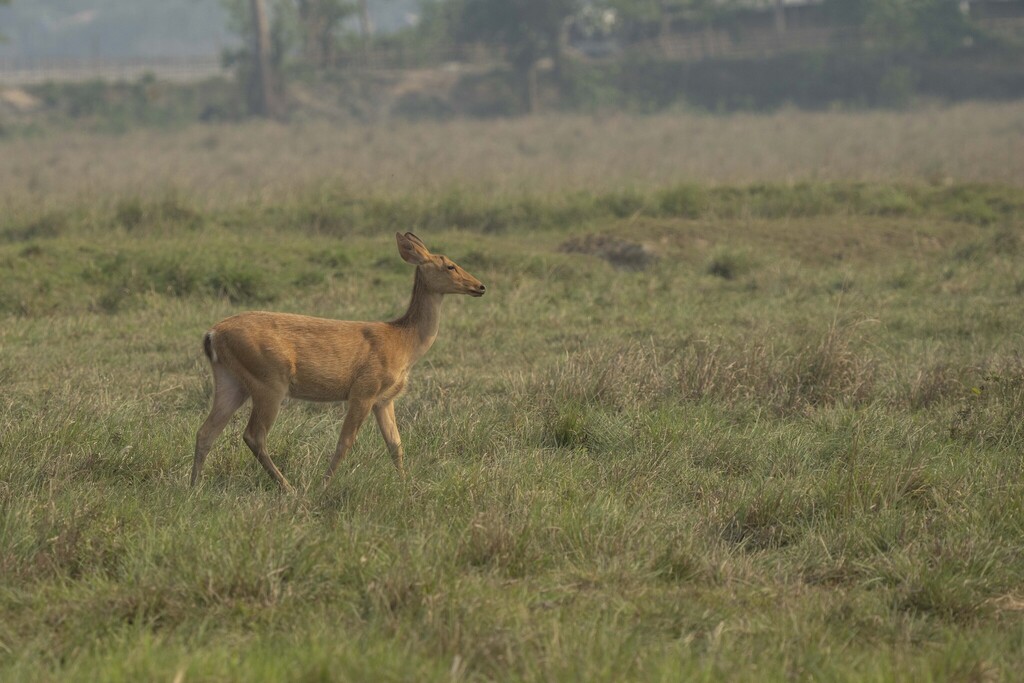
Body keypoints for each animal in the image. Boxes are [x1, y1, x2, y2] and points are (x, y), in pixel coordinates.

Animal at [190, 232, 486, 490]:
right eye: (450, 265)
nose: (480, 286)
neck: (404, 341)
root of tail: (212, 334)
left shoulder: (384, 399)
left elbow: (395, 445)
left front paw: (406, 485)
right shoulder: (364, 389)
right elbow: (345, 442)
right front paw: (323, 486)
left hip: (231, 380)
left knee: (206, 432)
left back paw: (193, 487)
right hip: (269, 380)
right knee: (254, 435)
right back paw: (290, 489)